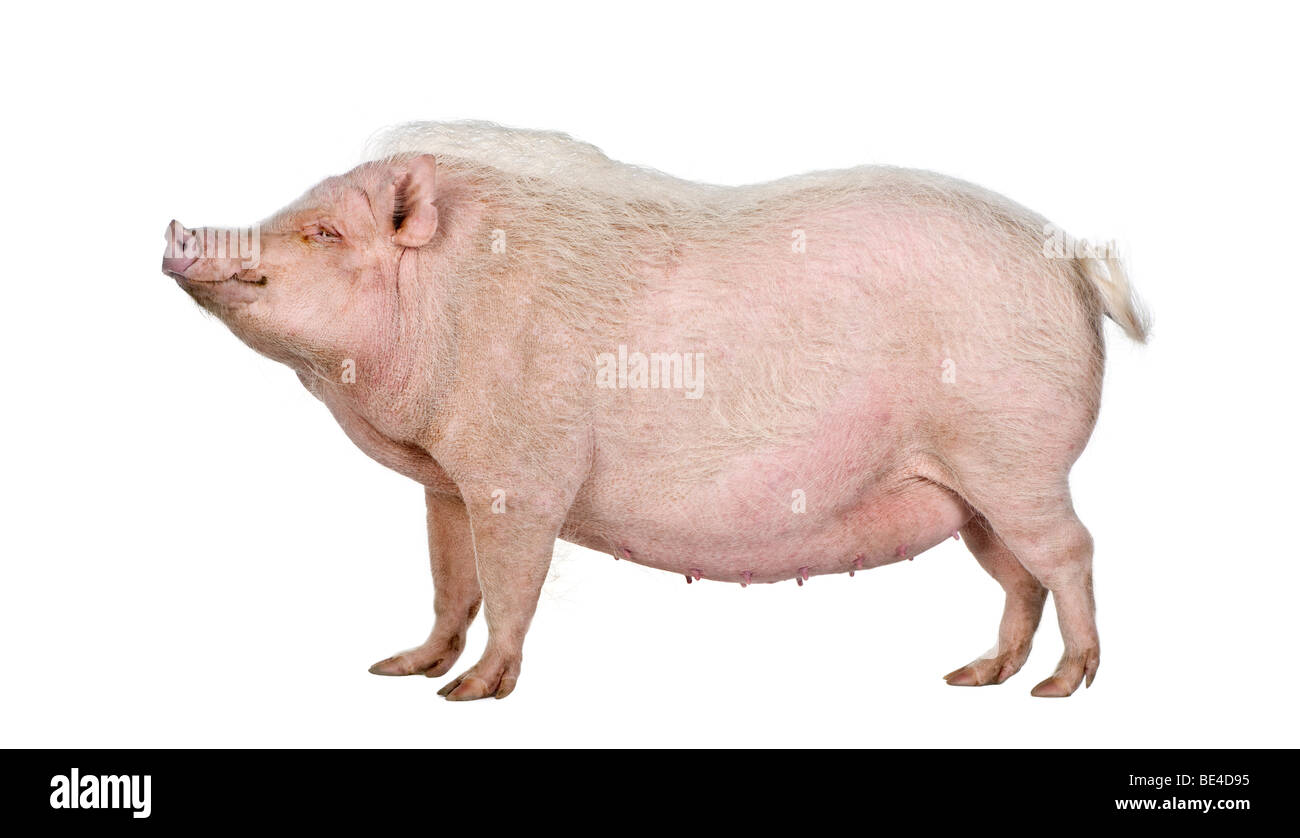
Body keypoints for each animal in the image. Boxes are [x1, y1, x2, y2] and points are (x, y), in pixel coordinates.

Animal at [162, 121, 1148, 701]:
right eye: (295, 207)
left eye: (325, 233)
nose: (180, 228)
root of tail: (1071, 257)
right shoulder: (448, 479)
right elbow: (449, 580)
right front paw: (399, 670)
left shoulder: (525, 474)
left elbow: (510, 582)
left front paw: (466, 695)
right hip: (973, 489)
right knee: (1020, 576)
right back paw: (974, 679)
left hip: (1016, 454)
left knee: (1071, 552)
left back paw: (1061, 688)